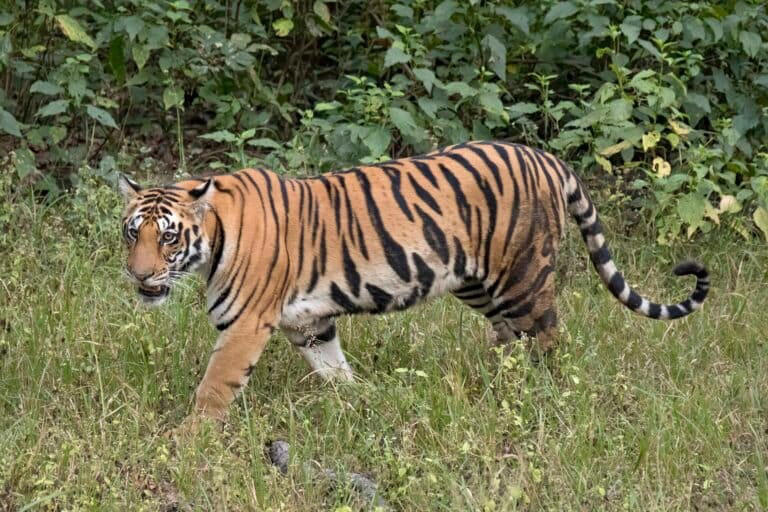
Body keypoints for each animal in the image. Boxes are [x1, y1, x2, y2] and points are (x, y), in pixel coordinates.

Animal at [118, 140, 709, 421]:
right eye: (131, 233)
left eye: (168, 237)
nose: (139, 275)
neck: (212, 239)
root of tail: (545, 157)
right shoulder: (310, 324)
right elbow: (334, 369)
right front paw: (360, 402)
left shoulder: (244, 327)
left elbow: (214, 388)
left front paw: (190, 441)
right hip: (478, 283)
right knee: (509, 338)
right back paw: (494, 384)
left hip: (523, 278)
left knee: (548, 340)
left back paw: (544, 396)